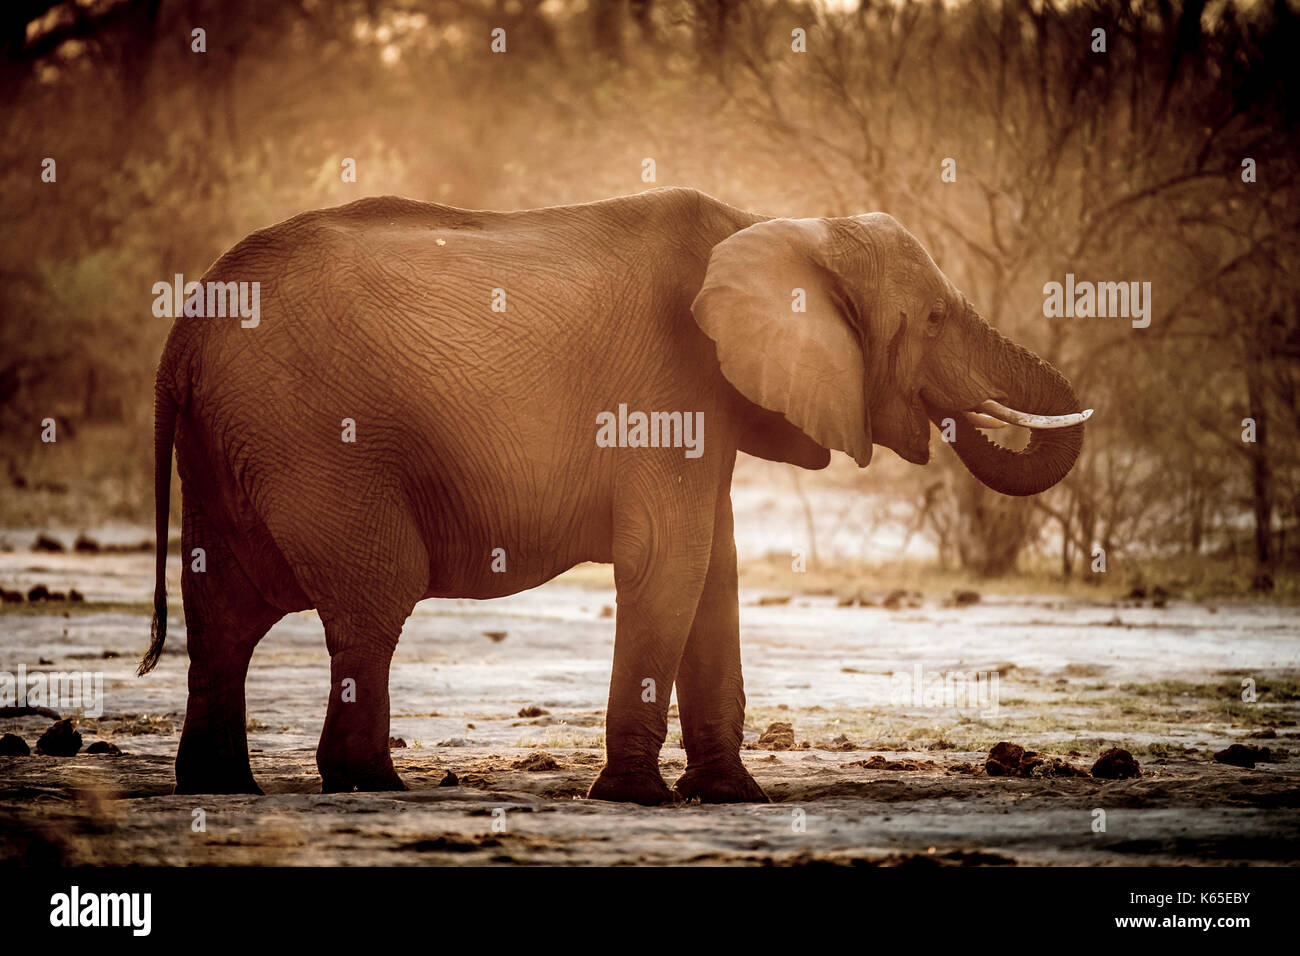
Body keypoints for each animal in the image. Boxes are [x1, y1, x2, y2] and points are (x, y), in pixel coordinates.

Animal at [140, 186, 1090, 803]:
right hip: (316, 438)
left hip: (236, 441)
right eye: (931, 320)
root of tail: (183, 331)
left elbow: (715, 573)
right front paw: (636, 798)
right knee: (373, 596)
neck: (777, 223)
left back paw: (223, 787)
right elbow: (671, 562)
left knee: (223, 612)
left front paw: (733, 797)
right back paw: (371, 783)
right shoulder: (668, 388)